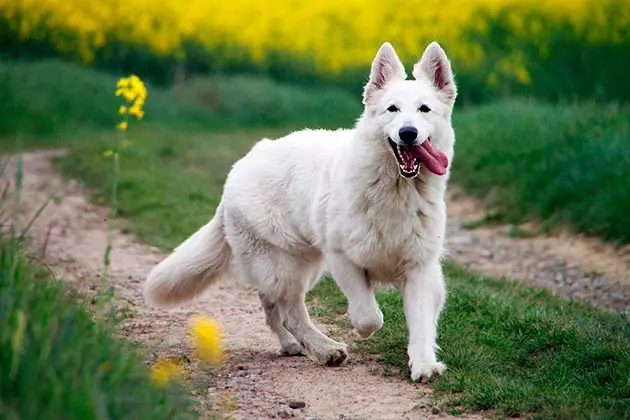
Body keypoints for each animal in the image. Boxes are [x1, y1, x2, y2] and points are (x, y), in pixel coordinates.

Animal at [144, 41, 460, 382]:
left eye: (424, 109)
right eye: (393, 110)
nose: (408, 133)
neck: (395, 191)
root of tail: (240, 166)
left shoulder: (420, 268)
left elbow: (421, 324)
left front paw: (424, 364)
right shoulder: (341, 258)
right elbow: (368, 316)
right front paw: (361, 331)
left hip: (301, 268)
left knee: (273, 308)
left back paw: (293, 345)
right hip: (288, 267)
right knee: (291, 313)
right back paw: (324, 349)